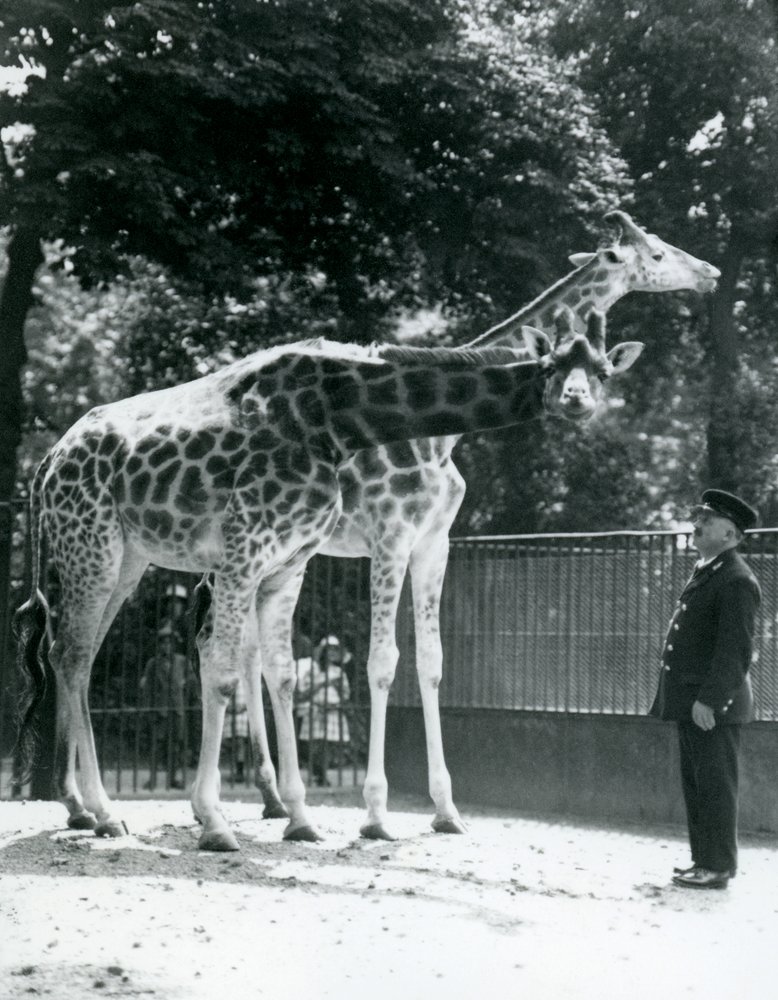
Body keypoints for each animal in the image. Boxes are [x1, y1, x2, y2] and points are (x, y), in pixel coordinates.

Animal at [15, 311, 643, 851]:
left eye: (604, 370)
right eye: (552, 364)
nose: (577, 401)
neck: (336, 417)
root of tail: (46, 463)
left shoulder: (299, 559)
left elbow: (298, 673)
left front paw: (305, 818)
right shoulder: (263, 547)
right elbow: (237, 671)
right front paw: (222, 822)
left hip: (126, 560)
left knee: (74, 654)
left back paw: (90, 808)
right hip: (90, 548)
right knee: (74, 656)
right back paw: (103, 811)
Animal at [297, 210, 720, 840]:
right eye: (658, 253)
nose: (711, 273)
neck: (445, 433)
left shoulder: (434, 544)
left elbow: (431, 664)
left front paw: (446, 810)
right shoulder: (390, 539)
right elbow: (379, 664)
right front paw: (374, 814)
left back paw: (275, 804)